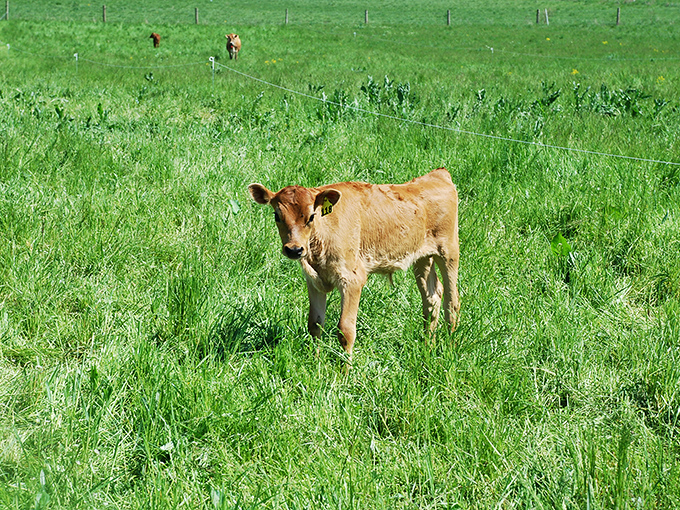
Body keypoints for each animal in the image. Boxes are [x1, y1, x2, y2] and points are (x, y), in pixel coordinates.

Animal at [248, 168, 460, 367]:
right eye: (277, 215)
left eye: (311, 217)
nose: (294, 249)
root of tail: (438, 174)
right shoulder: (314, 280)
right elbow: (315, 323)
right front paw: (315, 363)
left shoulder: (352, 280)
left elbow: (345, 330)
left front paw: (344, 373)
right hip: (422, 258)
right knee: (432, 298)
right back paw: (428, 347)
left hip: (449, 251)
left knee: (452, 302)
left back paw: (449, 349)